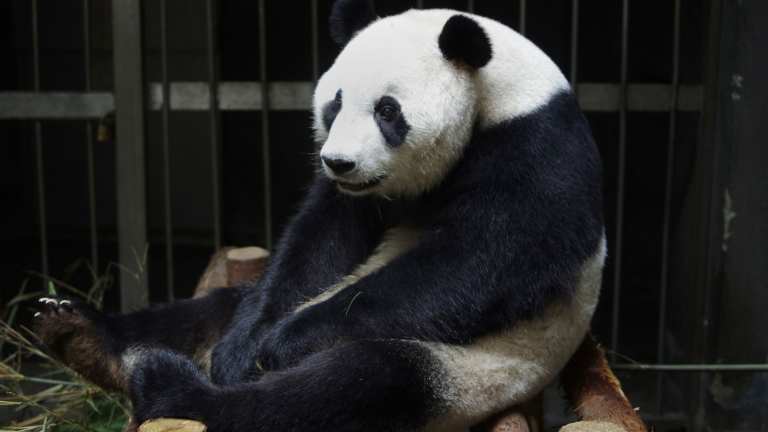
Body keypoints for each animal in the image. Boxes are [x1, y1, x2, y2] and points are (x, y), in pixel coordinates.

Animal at [34, 1, 605, 431]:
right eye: (335, 103)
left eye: (388, 111)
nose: (338, 162)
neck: (499, 91)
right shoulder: (356, 198)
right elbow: (320, 240)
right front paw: (243, 351)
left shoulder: (535, 148)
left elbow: (484, 260)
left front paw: (284, 344)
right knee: (209, 312)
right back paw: (79, 332)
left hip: (475, 369)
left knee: (352, 385)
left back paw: (172, 389)